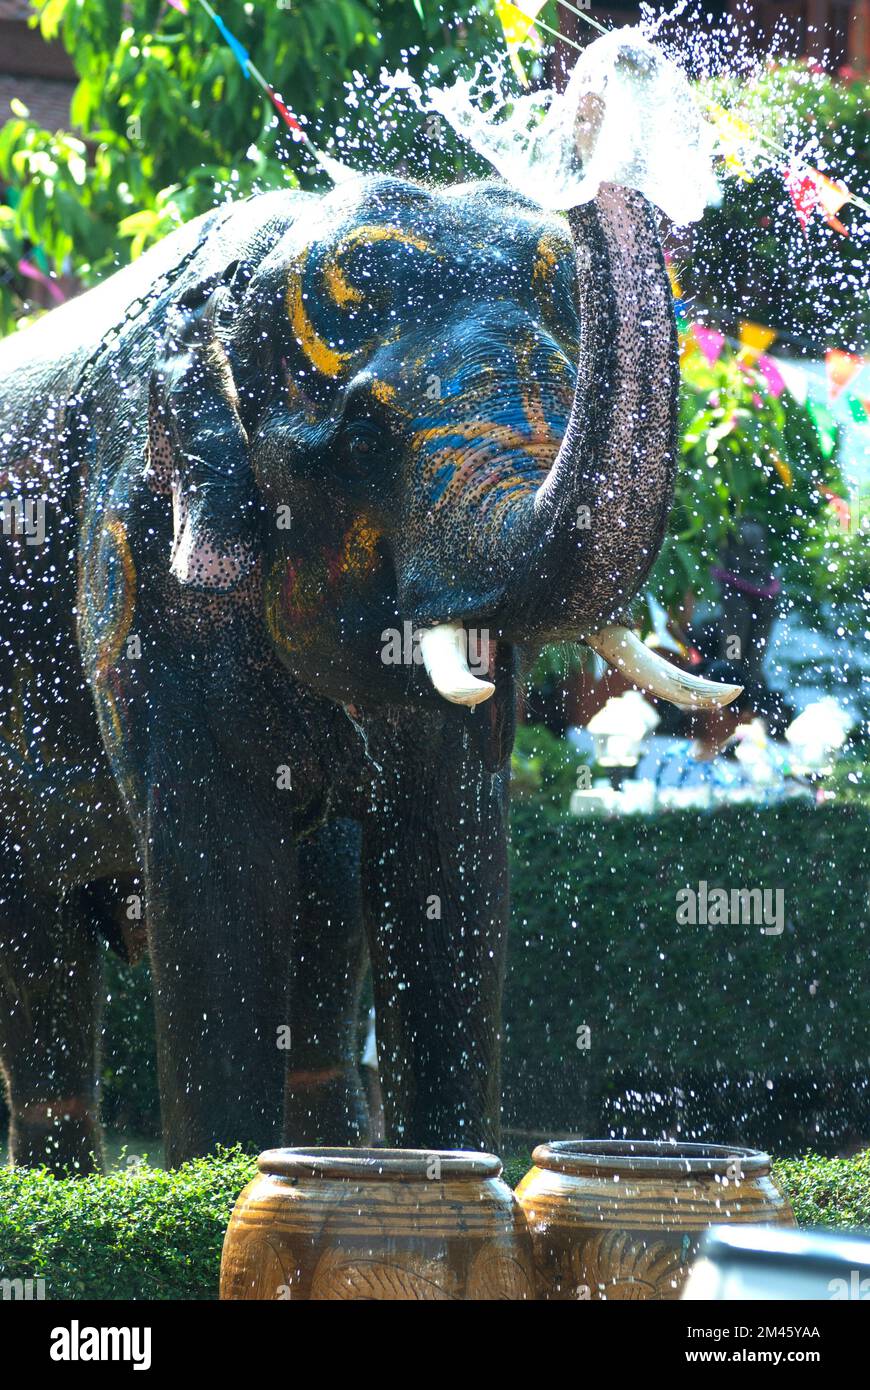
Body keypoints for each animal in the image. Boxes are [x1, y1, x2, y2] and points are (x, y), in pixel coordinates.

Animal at [0, 172, 739, 1172]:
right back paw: (65, 1181)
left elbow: (447, 848)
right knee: (40, 960)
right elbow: (212, 862)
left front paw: (456, 1173)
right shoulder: (135, 558)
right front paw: (211, 1185)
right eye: (361, 435)